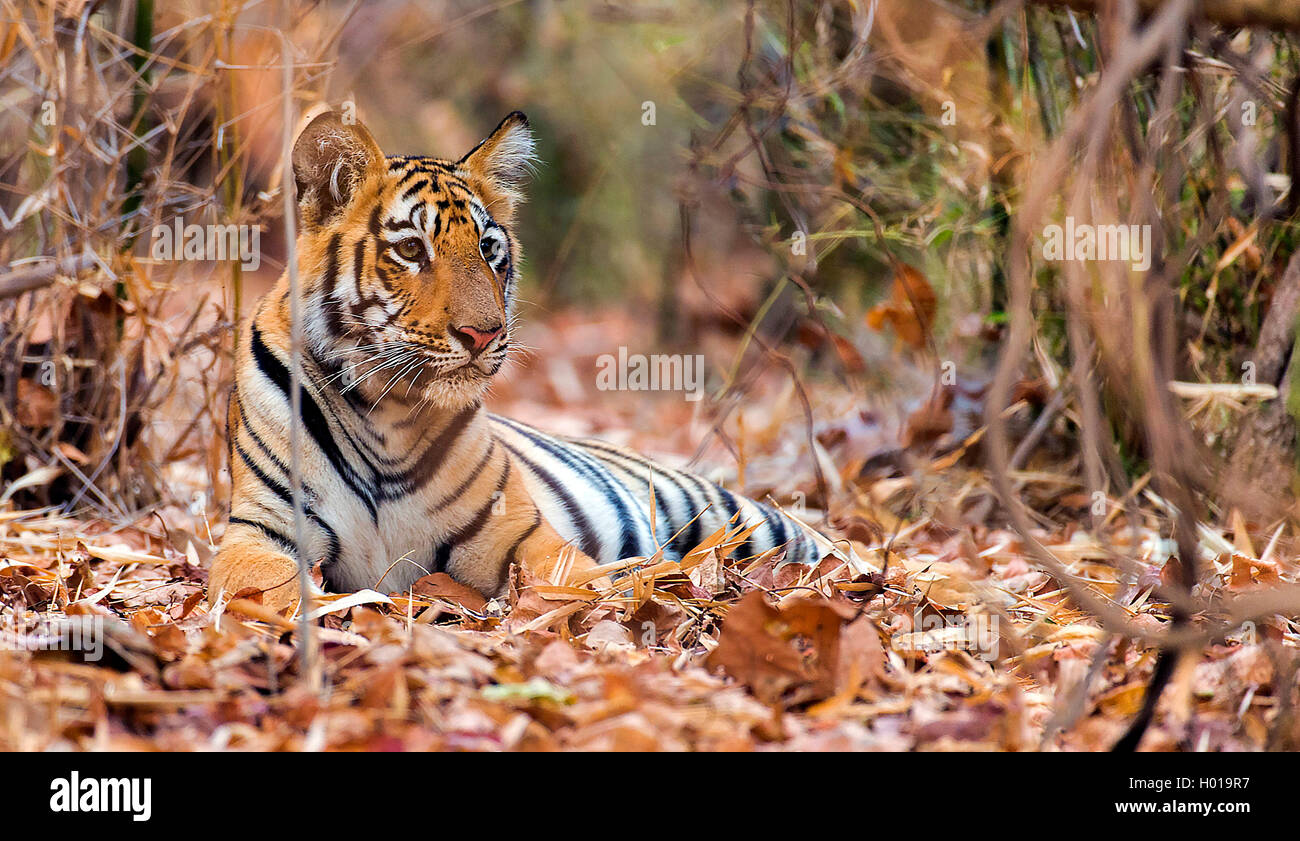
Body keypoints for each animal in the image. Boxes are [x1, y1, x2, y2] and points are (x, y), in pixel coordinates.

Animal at [208, 109, 823, 613]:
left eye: (488, 249)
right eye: (410, 250)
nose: (483, 334)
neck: (385, 414)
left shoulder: (515, 533)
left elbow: (574, 576)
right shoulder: (261, 533)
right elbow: (268, 590)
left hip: (740, 514)